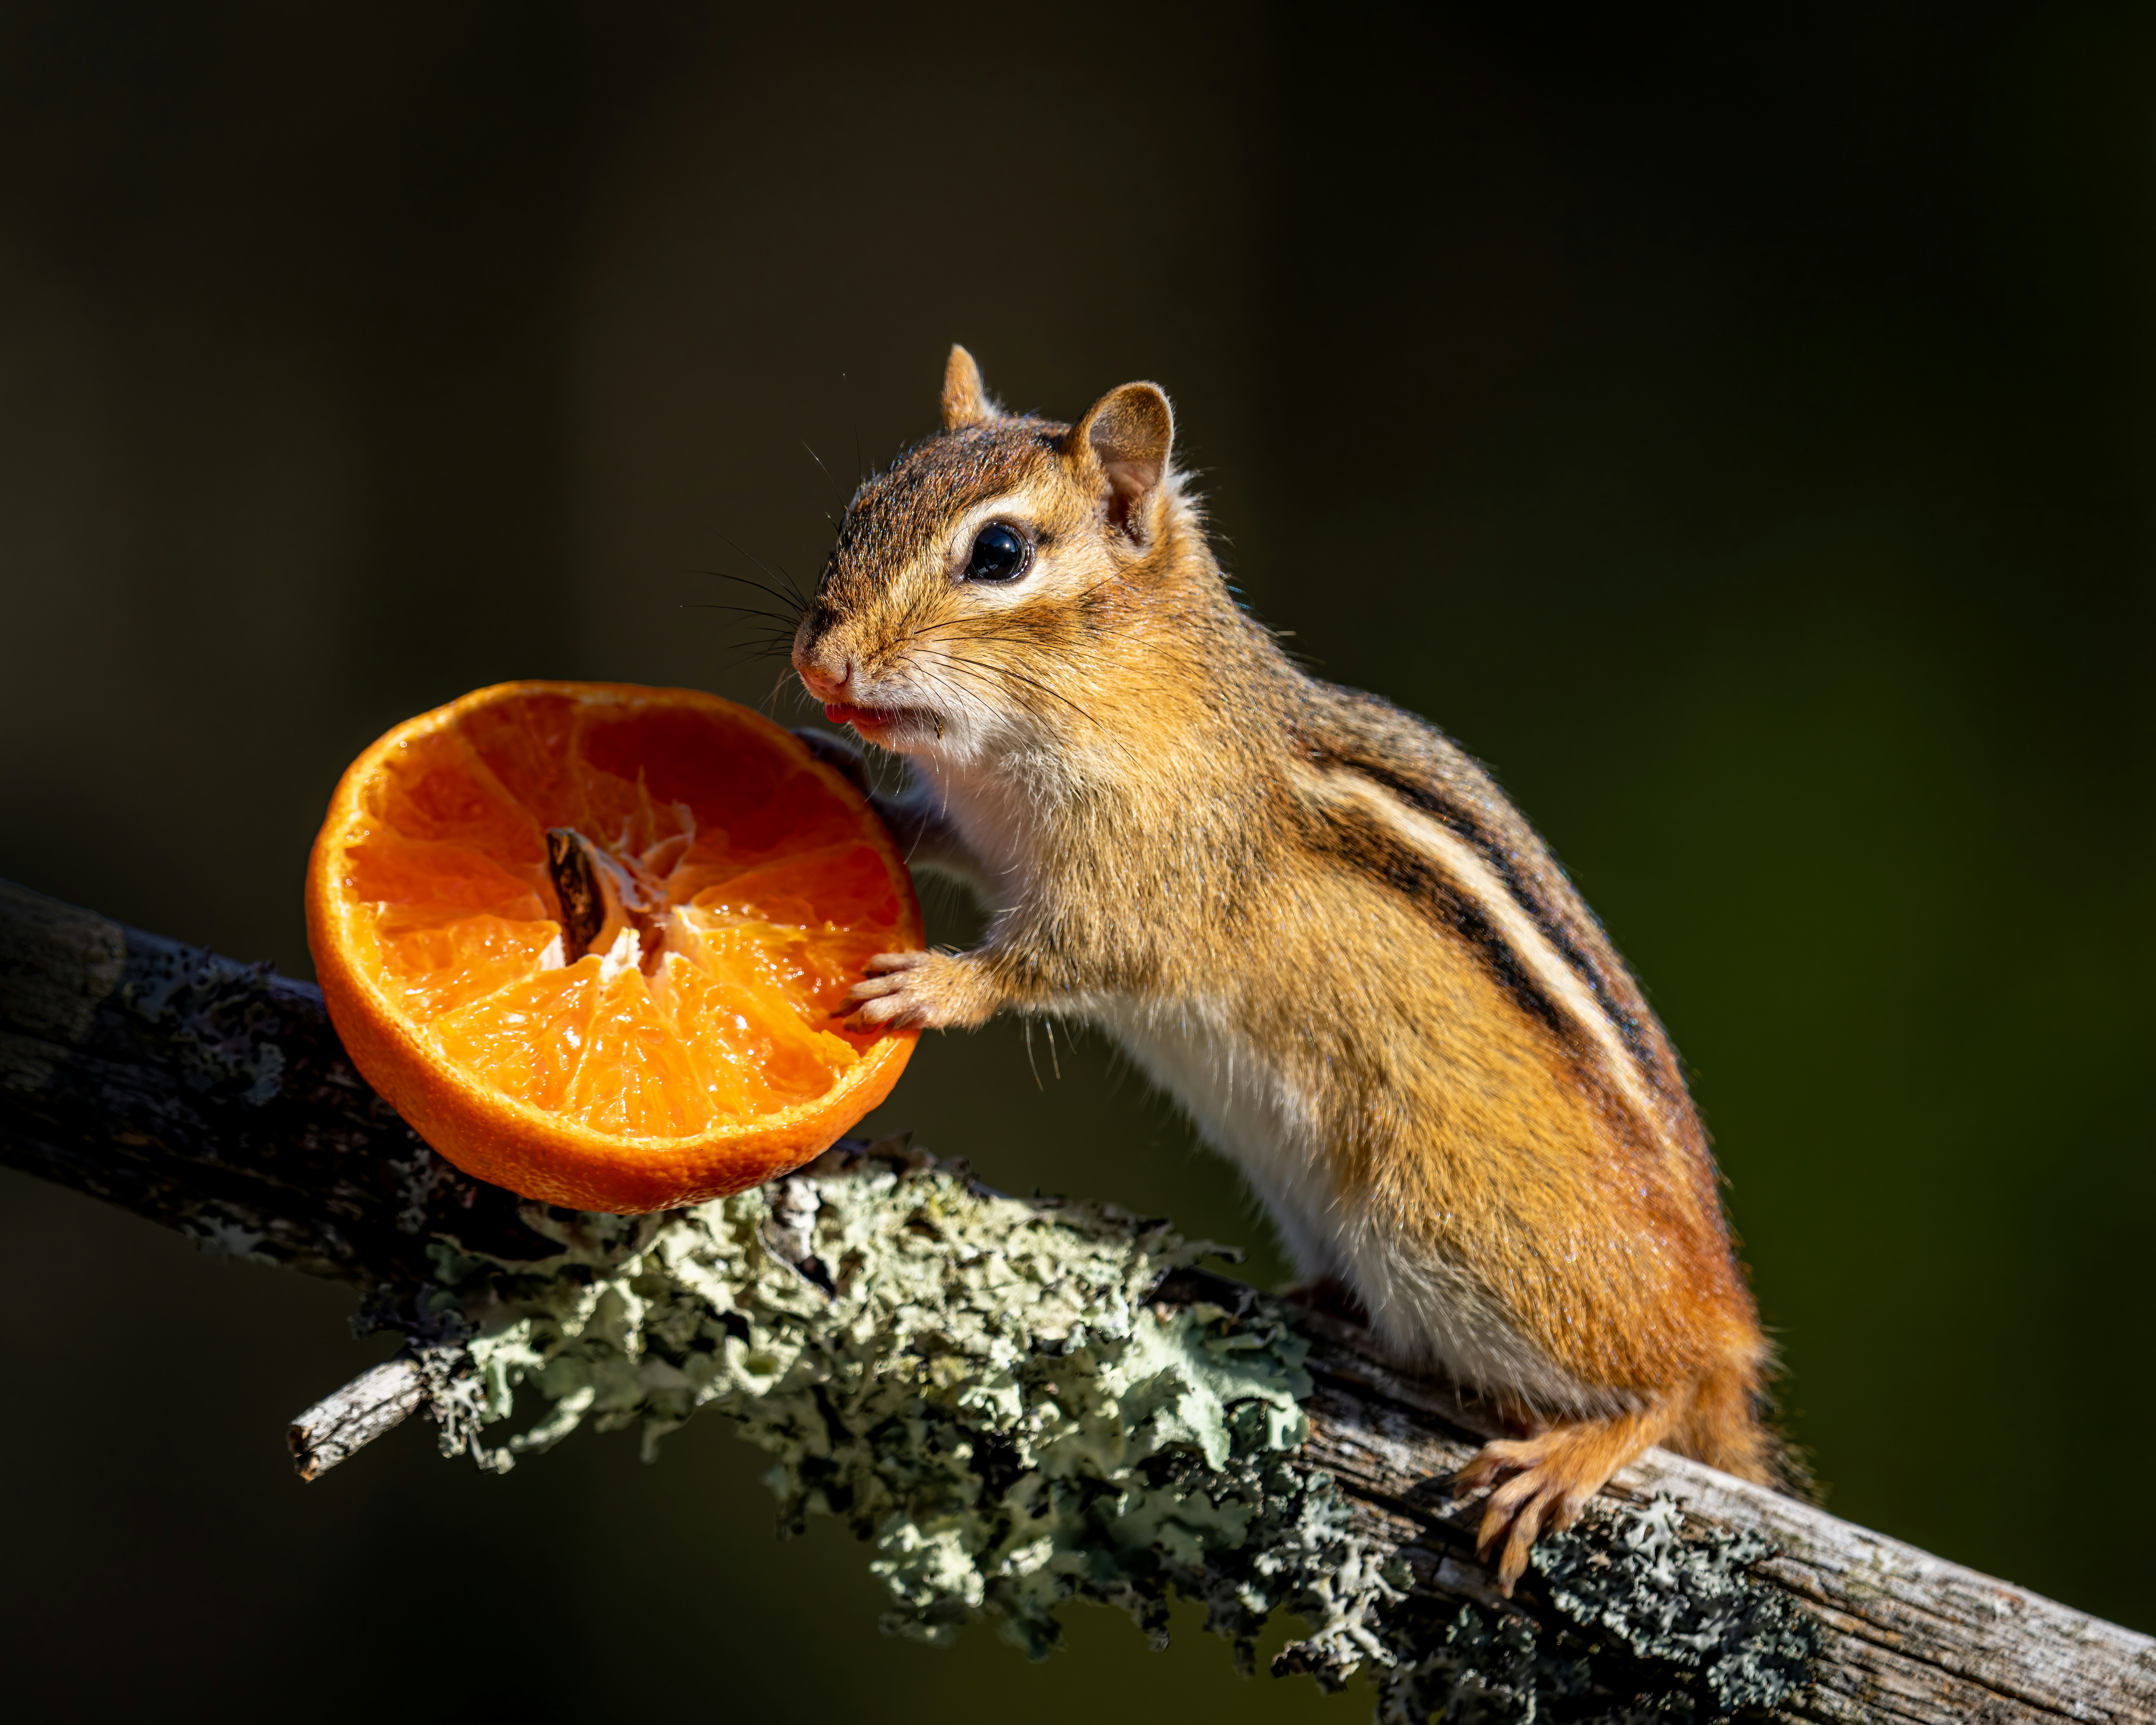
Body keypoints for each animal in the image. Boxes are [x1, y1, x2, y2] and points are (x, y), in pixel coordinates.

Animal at [788, 346, 1787, 1591]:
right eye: (859, 506)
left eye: (1001, 553)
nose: (816, 664)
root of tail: (1720, 1313)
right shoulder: (988, 836)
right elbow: (934, 834)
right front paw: (841, 781)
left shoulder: (1147, 881)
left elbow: (1056, 959)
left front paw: (931, 983)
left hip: (1462, 1236)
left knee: (1667, 1387)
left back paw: (1576, 1451)